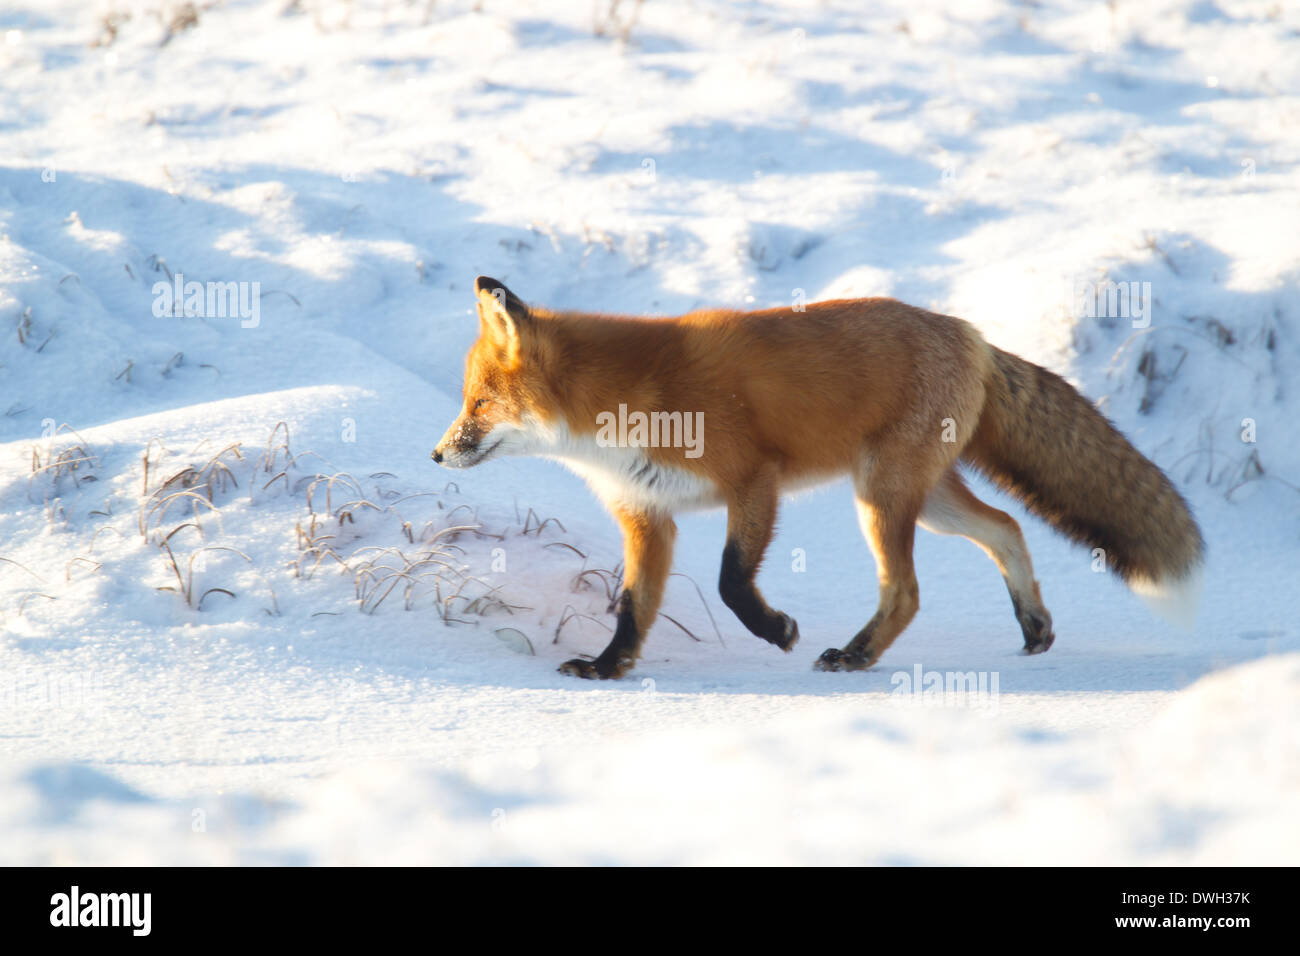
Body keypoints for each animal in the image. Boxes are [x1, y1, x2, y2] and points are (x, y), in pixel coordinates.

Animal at [433, 276, 1204, 679]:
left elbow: (730, 582)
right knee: (1007, 527)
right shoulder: (647, 512)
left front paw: (776, 630)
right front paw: (608, 668)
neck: (622, 406)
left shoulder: (753, 480)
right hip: (923, 498)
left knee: (908, 591)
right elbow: (633, 607)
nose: (437, 456)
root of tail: (969, 333)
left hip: (882, 497)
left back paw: (856, 655)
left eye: (477, 405)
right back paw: (1034, 625)